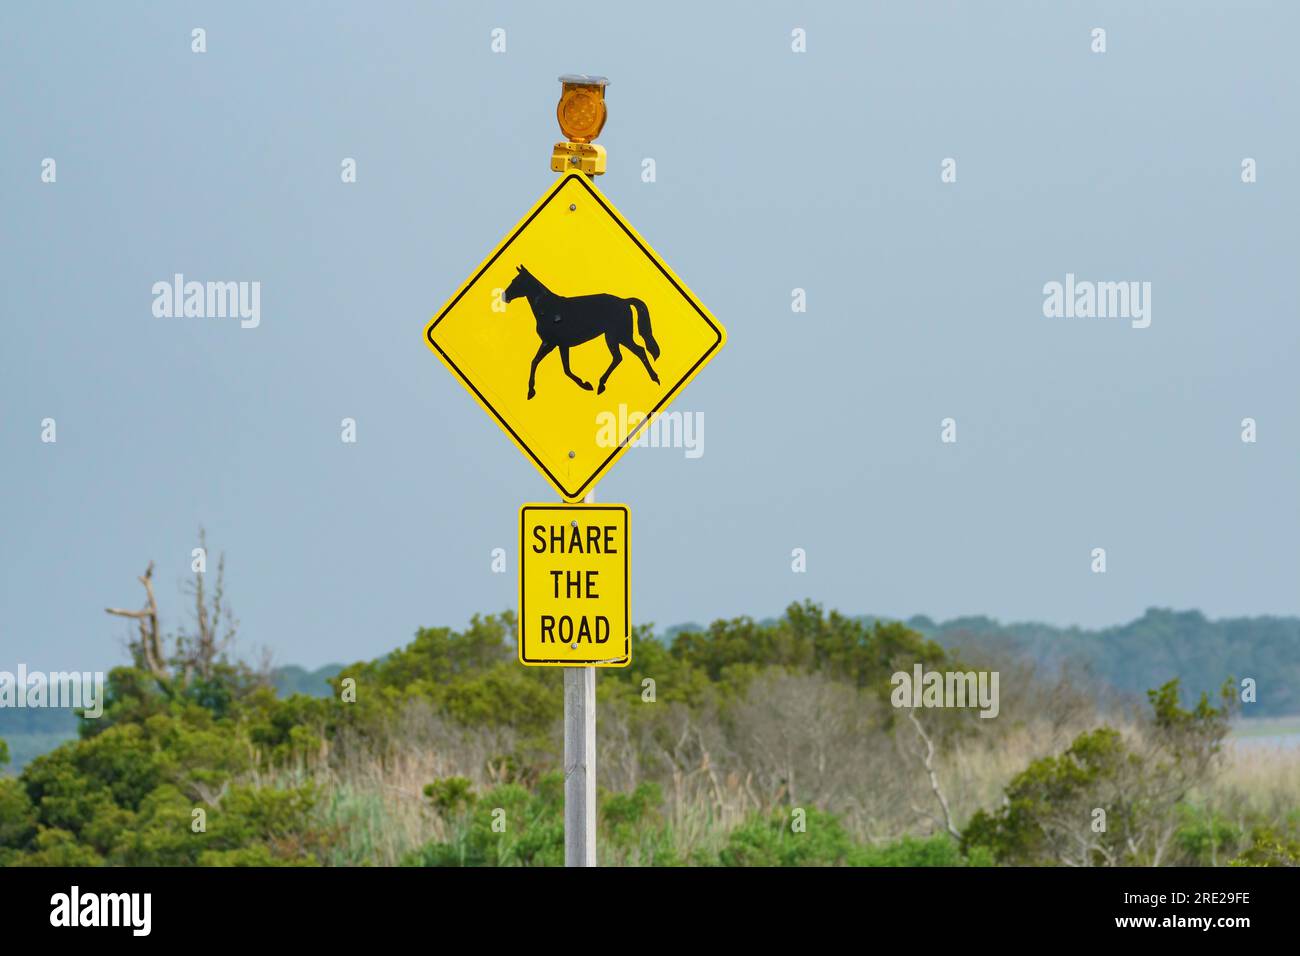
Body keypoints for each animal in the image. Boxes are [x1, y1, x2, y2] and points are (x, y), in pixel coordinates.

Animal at [503, 265, 660, 400]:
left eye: (516, 281)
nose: (504, 296)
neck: (548, 308)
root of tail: (624, 301)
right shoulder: (555, 344)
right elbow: (544, 363)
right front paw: (531, 391)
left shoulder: (552, 343)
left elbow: (562, 368)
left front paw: (585, 385)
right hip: (613, 337)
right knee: (620, 357)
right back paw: (601, 384)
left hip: (621, 336)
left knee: (637, 352)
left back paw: (654, 378)